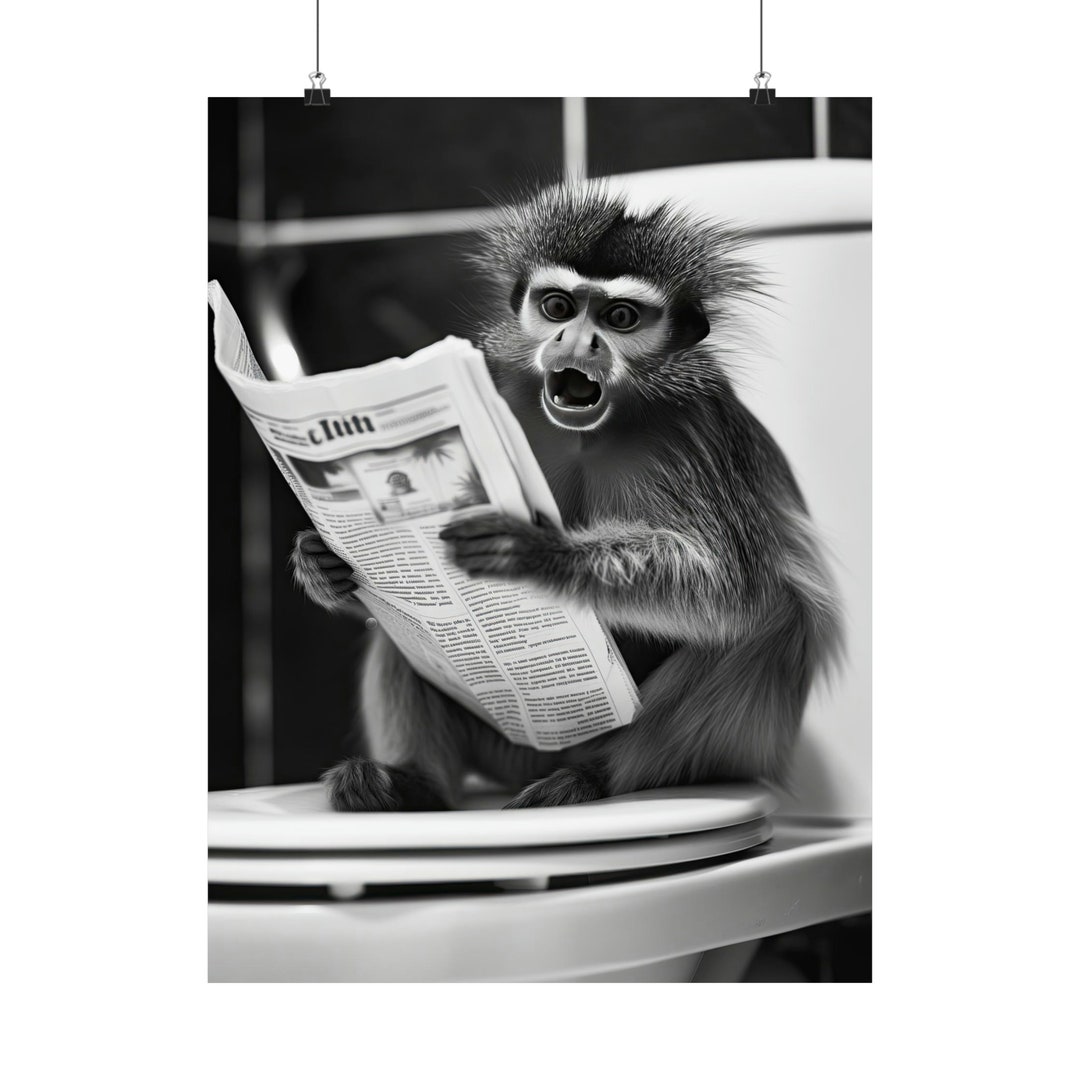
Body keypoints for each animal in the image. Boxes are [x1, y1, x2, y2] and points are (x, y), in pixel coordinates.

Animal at [291, 181, 843, 812]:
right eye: (558, 307)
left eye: (620, 317)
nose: (577, 341)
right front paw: (319, 564)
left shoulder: (694, 428)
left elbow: (731, 588)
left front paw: (535, 554)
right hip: (507, 740)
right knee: (408, 630)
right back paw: (404, 783)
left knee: (773, 612)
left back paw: (591, 779)